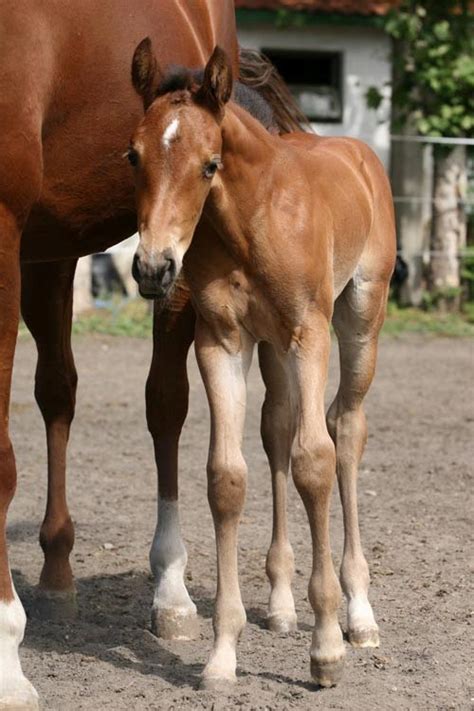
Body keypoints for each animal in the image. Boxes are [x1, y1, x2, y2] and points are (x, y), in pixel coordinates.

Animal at [0, 3, 308, 708]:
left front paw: (6, 657)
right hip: (53, 242)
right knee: (58, 390)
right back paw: (57, 572)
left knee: (164, 404)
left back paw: (171, 592)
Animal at [128, 42, 396, 689]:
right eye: (132, 156)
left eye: (209, 165)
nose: (153, 267)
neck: (251, 218)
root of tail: (358, 153)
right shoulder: (222, 342)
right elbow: (227, 477)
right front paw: (223, 653)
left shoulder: (309, 334)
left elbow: (314, 461)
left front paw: (326, 649)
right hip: (272, 349)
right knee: (276, 427)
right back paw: (279, 604)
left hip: (359, 318)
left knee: (346, 428)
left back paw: (360, 614)